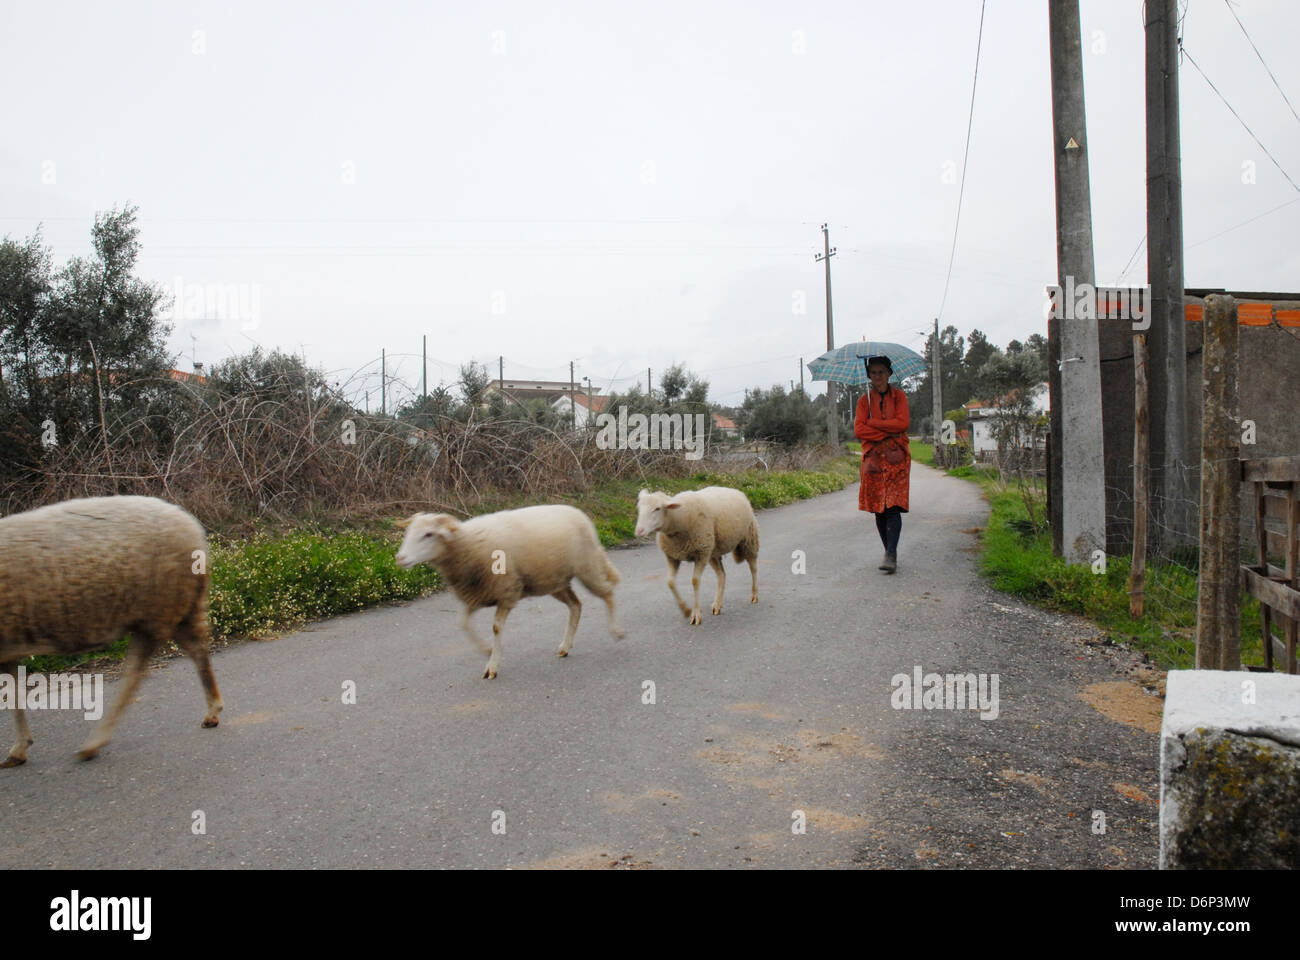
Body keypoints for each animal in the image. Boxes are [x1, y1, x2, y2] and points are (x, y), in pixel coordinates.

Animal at [0, 495, 222, 767]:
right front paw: (20, 747)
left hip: (156, 611)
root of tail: (192, 528)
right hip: (181, 607)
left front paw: (20, 747)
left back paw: (94, 743)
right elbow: (12, 692)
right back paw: (212, 711)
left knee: (134, 674)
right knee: (198, 651)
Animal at [395, 504, 625, 678]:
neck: (466, 544)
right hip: (554, 581)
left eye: (428, 534)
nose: (400, 558)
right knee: (576, 605)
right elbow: (463, 623)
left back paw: (616, 631)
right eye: (408, 533)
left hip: (587, 566)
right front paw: (486, 649)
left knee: (608, 593)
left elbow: (496, 628)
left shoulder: (506, 591)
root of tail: (578, 512)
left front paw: (492, 666)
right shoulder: (479, 594)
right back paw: (565, 647)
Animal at [635, 486, 759, 625]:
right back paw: (717, 604)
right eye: (639, 508)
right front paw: (685, 610)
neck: (679, 518)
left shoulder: (701, 554)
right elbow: (670, 582)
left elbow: (695, 581)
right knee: (721, 575)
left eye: (657, 508)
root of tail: (735, 490)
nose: (639, 531)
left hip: (748, 539)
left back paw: (754, 595)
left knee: (753, 568)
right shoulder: (673, 556)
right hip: (713, 551)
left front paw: (695, 615)